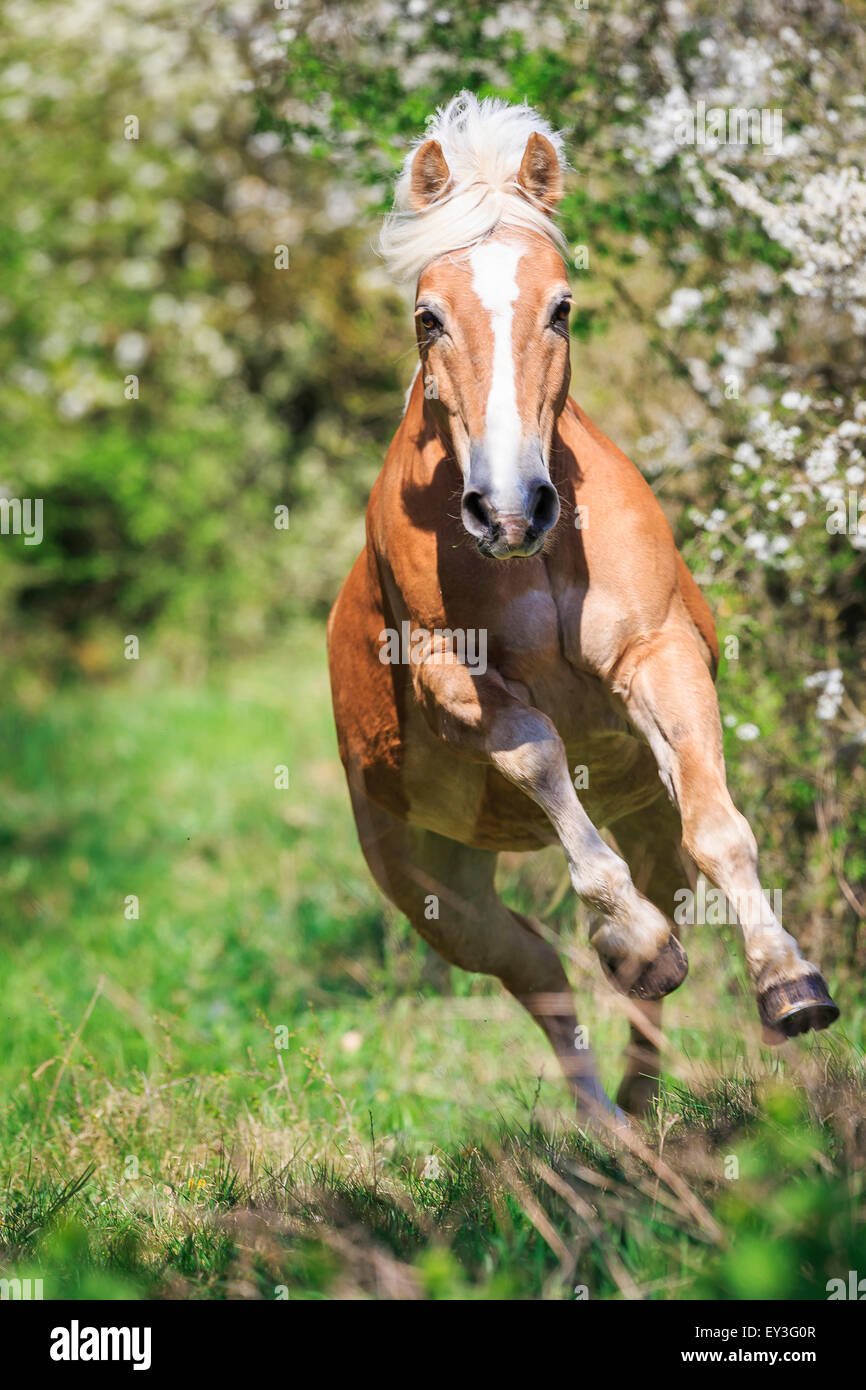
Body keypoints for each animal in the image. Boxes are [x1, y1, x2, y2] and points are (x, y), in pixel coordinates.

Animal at [327, 92, 838, 1125]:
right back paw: (606, 1116)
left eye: (560, 308)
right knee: (540, 975)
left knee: (646, 911)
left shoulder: (660, 656)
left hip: (637, 810)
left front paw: (791, 986)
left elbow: (723, 832)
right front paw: (633, 944)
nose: (507, 509)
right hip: (431, 888)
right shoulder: (460, 687)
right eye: (428, 316)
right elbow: (542, 764)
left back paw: (641, 1109)